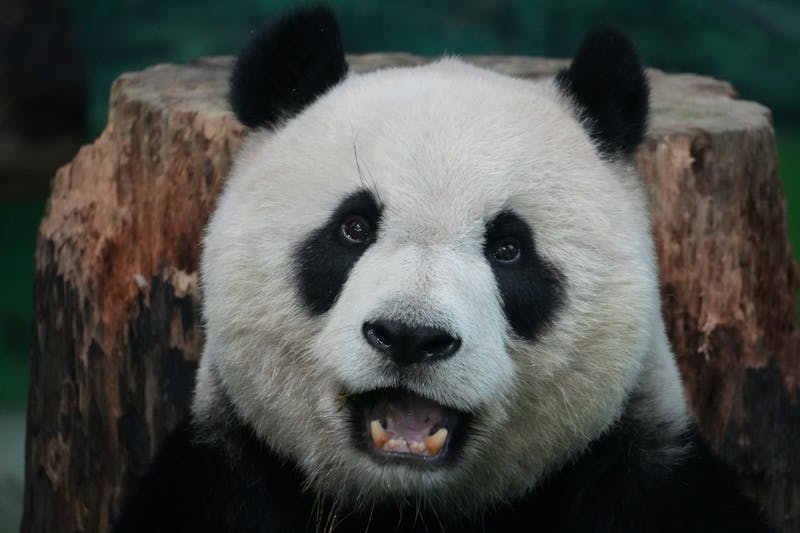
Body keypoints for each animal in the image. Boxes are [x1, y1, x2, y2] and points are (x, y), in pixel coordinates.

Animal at [113, 6, 773, 533]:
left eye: (508, 249)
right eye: (354, 228)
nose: (410, 336)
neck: (407, 505)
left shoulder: (643, 475)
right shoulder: (221, 477)